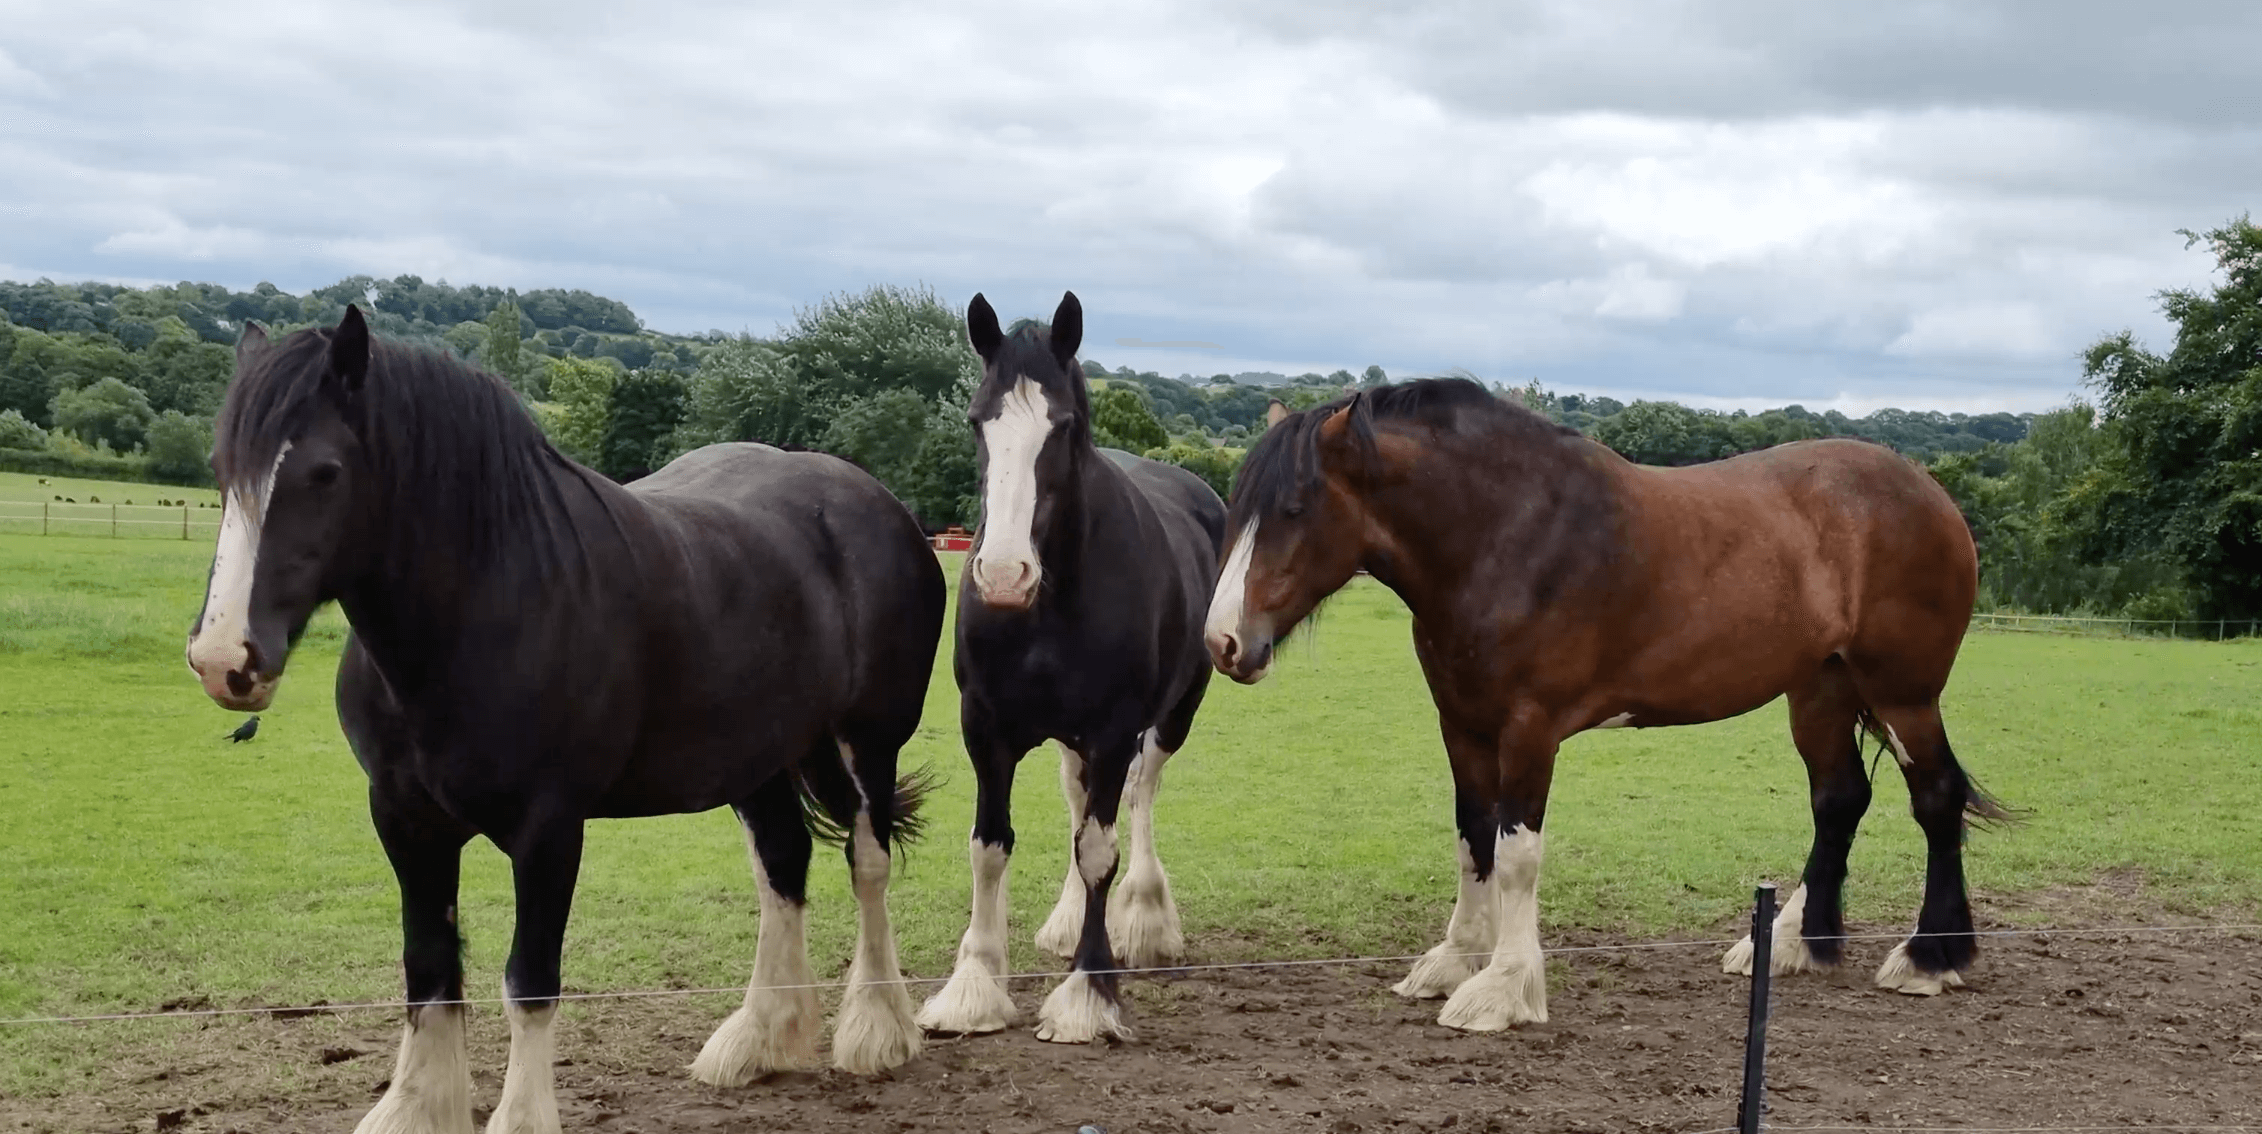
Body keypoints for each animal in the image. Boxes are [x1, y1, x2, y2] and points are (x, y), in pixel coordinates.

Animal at [184, 307, 945, 1134]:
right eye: (220, 469)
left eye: (324, 473)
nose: (224, 658)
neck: (486, 602)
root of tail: (879, 506)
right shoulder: (404, 821)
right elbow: (429, 966)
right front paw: (416, 1107)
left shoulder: (548, 829)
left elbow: (530, 979)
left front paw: (519, 1117)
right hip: (759, 757)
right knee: (783, 862)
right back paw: (758, 1040)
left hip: (867, 742)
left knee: (867, 862)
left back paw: (877, 1030)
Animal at [914, 291, 1226, 1044]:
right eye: (978, 420)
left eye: (1063, 427)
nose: (1003, 574)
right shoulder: (986, 731)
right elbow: (990, 846)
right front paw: (974, 985)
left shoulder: (1114, 732)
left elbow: (1100, 851)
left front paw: (1089, 989)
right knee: (1079, 802)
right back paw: (1064, 919)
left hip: (1170, 718)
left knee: (1139, 797)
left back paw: (1143, 917)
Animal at [1203, 378, 2006, 1032]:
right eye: (1236, 508)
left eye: (1294, 508)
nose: (1224, 642)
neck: (1506, 534)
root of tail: (1931, 496)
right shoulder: (1462, 726)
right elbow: (1471, 840)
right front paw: (1455, 960)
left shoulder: (1530, 731)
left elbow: (1516, 853)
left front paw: (1503, 990)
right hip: (1820, 690)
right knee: (1839, 799)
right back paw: (1791, 945)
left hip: (1902, 692)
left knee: (1934, 798)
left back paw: (1929, 959)